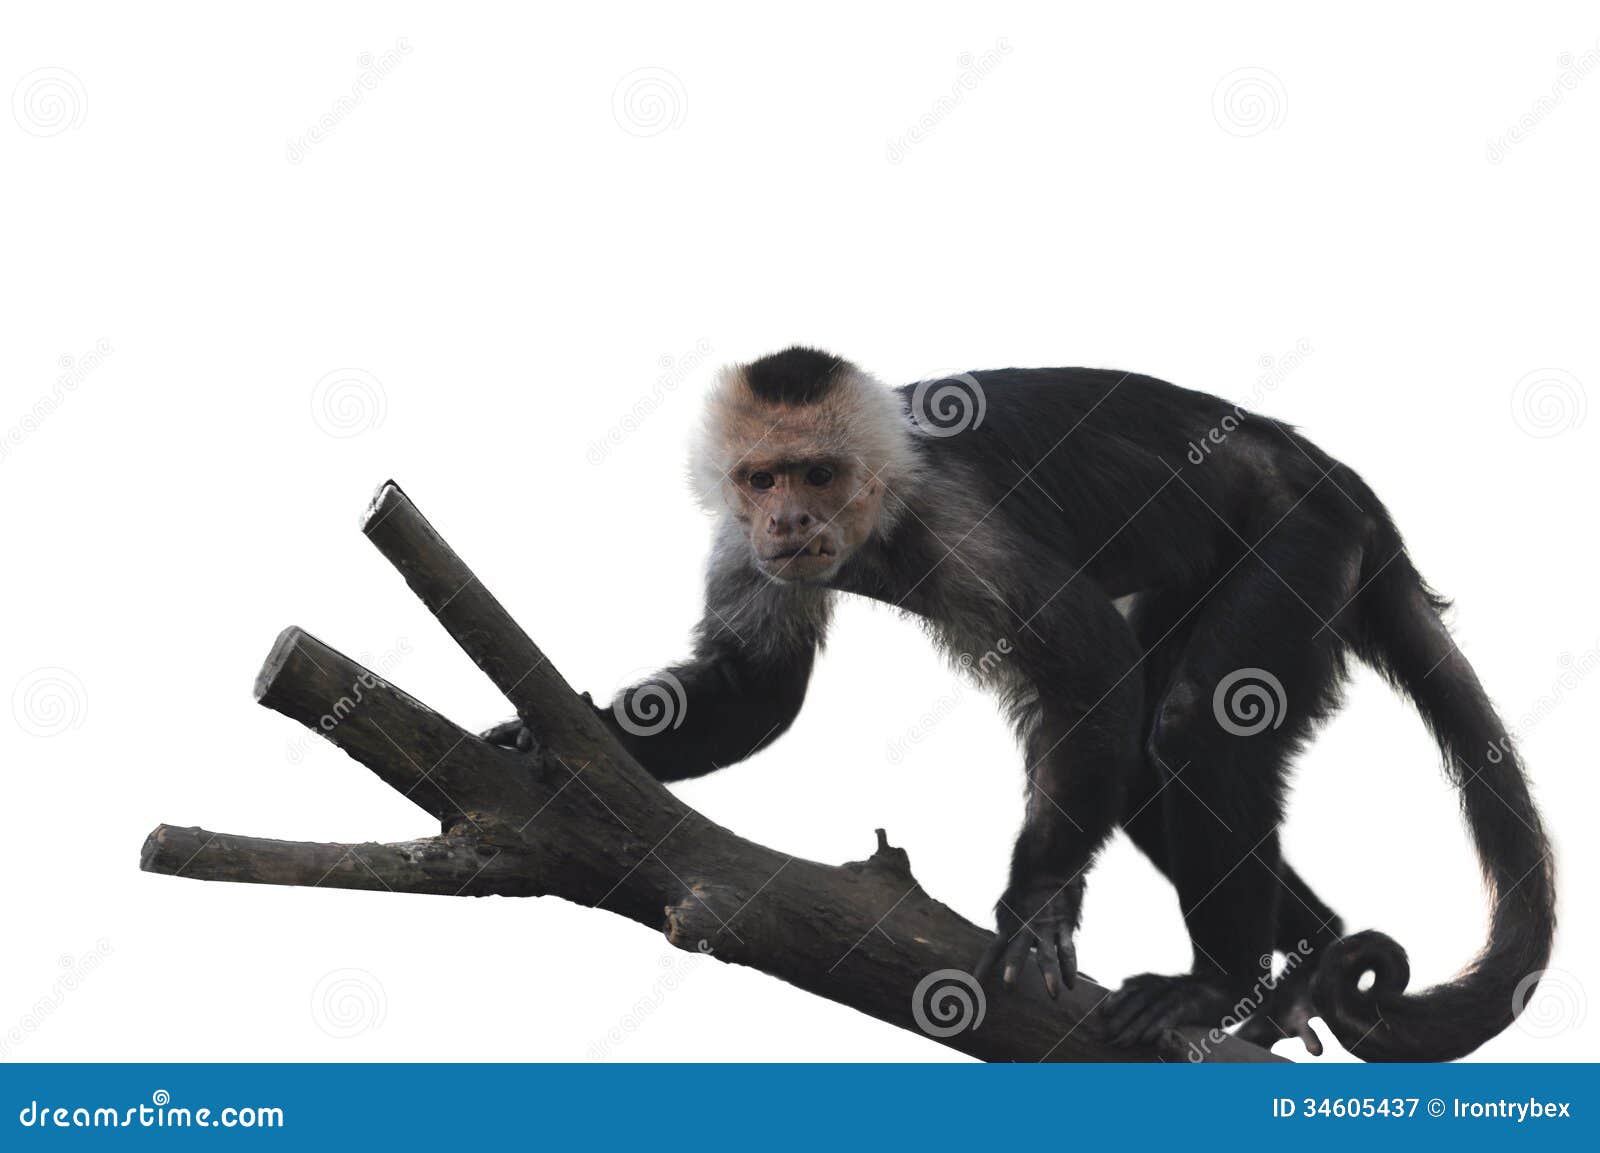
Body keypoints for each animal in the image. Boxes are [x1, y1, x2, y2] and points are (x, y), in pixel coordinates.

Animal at [488, 346, 1554, 1060]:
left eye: (818, 473)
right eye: (762, 479)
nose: (787, 518)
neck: (879, 516)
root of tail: (1339, 479)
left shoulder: (955, 517)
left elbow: (1090, 666)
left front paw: (1037, 907)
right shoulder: (738, 539)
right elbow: (756, 688)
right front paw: (548, 738)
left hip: (1303, 536)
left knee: (1189, 728)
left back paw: (1216, 983)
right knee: (1146, 767)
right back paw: (1307, 959)